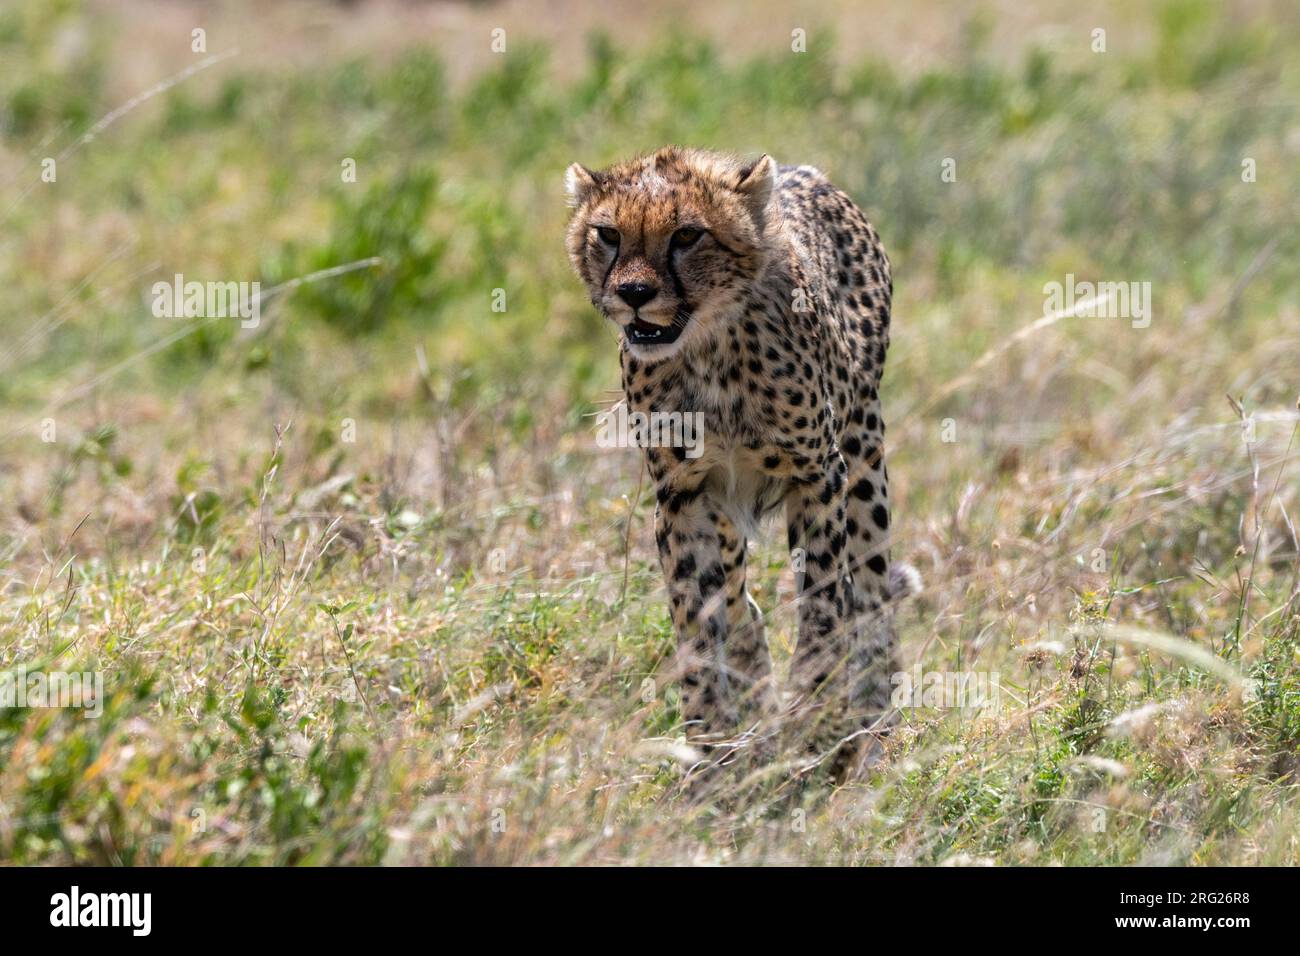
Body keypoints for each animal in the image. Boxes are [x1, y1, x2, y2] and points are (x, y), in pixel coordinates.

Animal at [564, 146, 918, 781]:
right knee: (739, 598)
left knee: (871, 592)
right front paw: (709, 747)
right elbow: (697, 619)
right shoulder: (682, 494)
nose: (632, 292)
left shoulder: (818, 476)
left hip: (863, 451)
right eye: (608, 234)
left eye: (687, 235)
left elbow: (824, 604)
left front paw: (814, 711)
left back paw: (868, 724)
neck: (709, 347)